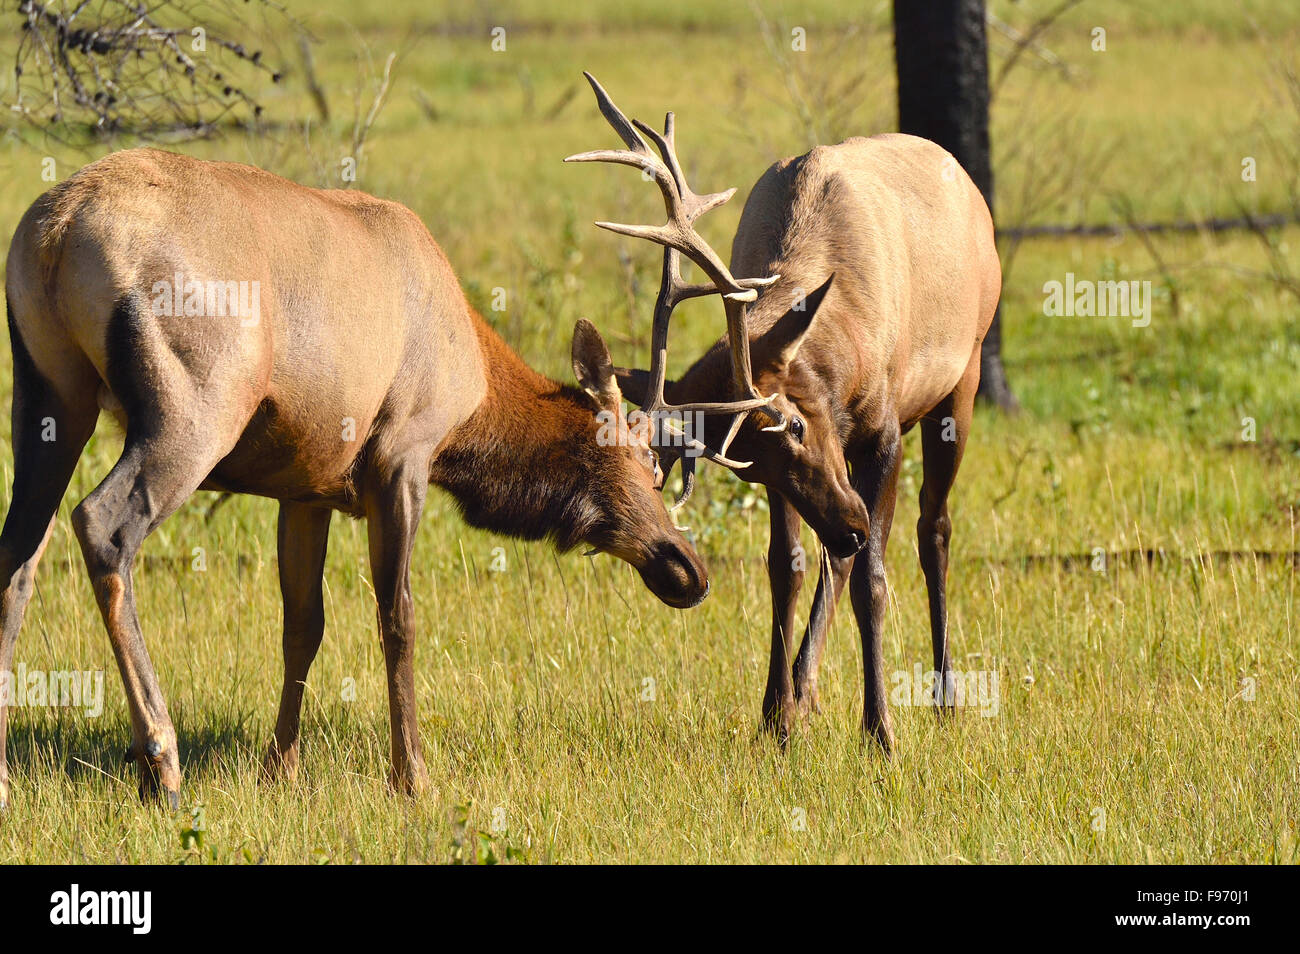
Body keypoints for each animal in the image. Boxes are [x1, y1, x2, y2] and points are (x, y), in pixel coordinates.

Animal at [0, 147, 717, 810]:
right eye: (650, 465)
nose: (690, 569)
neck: (476, 395)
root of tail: (56, 232)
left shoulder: (305, 487)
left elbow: (302, 626)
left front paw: (280, 768)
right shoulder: (403, 453)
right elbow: (398, 618)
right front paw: (413, 777)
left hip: (50, 397)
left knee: (19, 549)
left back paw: (8, 772)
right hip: (195, 406)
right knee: (101, 524)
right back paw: (162, 762)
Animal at [568, 74, 1001, 753]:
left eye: (795, 422)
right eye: (748, 463)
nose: (851, 522)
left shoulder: (883, 431)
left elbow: (876, 579)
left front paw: (880, 731)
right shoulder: (797, 484)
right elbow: (786, 569)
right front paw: (775, 717)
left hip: (965, 376)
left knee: (934, 529)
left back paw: (944, 695)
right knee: (837, 559)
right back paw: (807, 689)